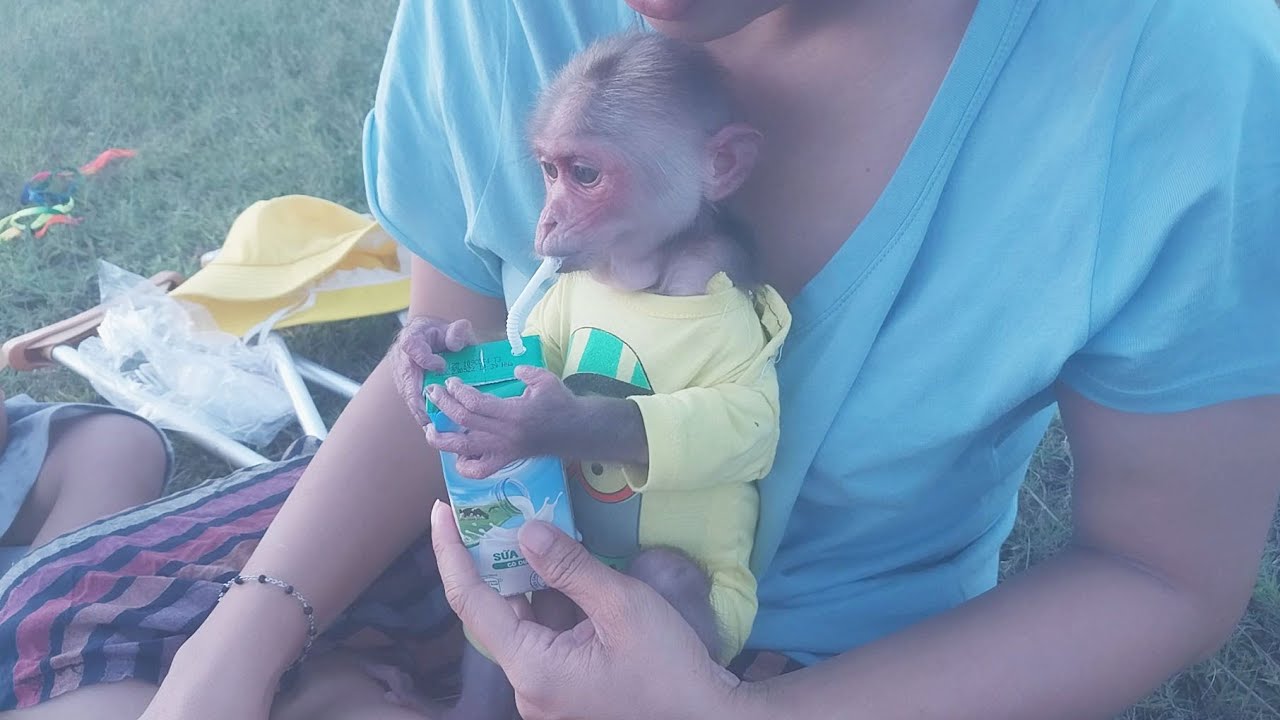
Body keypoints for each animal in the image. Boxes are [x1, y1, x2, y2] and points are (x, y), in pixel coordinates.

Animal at [394, 31, 792, 720]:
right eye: (549, 172)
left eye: (584, 175)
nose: (546, 220)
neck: (640, 277)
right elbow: (539, 345)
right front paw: (430, 347)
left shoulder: (722, 302)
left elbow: (745, 424)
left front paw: (546, 422)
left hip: (724, 625)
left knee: (667, 575)